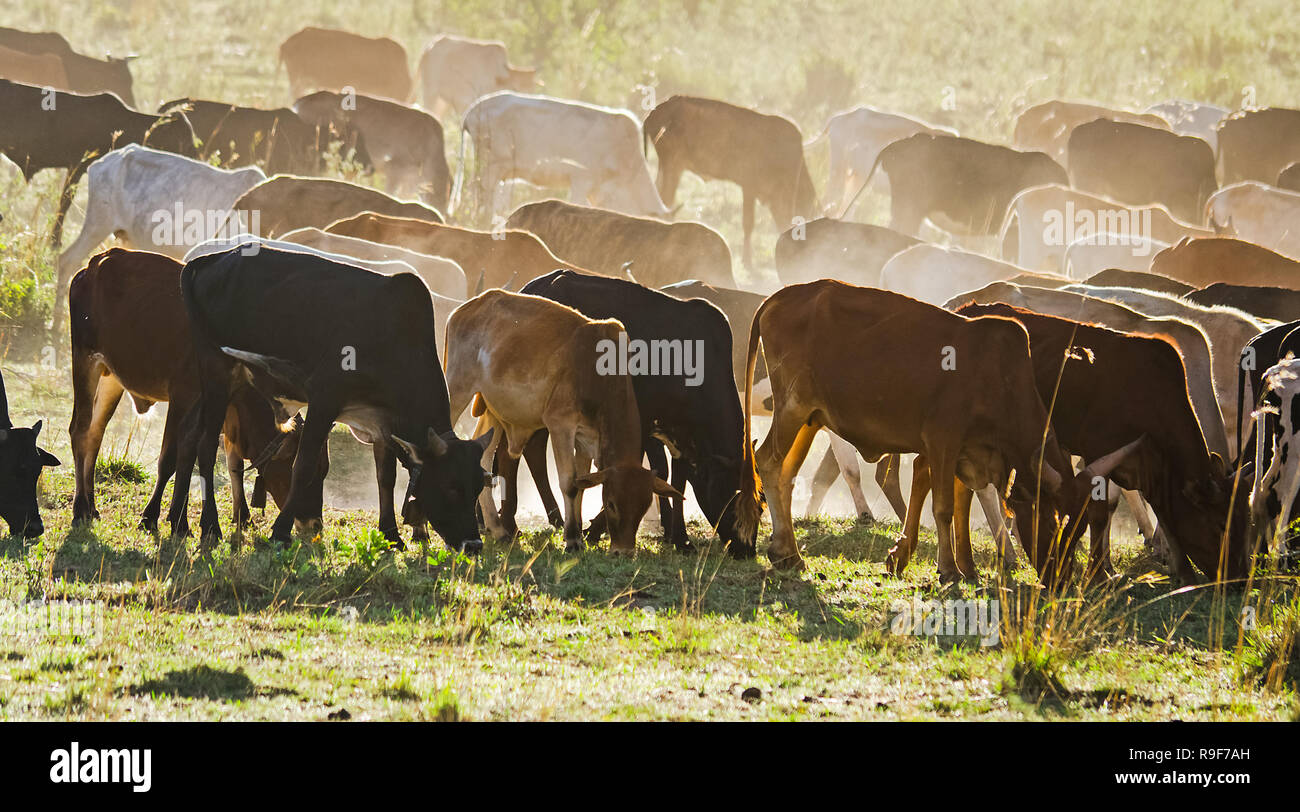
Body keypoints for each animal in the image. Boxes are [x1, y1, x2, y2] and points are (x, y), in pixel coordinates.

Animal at [68, 248, 306, 536]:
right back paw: (80, 507)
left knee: (95, 433)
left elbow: (189, 453)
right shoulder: (183, 395)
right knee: (80, 429)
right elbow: (170, 458)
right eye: (293, 460)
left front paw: (179, 521)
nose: (307, 520)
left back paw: (92, 506)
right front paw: (152, 516)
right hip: (85, 361)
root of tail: (97, 262)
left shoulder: (209, 403)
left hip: (110, 378)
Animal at [171, 244, 489, 549]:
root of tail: (213, 259)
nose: (473, 544)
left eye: (478, 487)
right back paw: (210, 526)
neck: (394, 340)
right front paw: (280, 532)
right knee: (206, 446)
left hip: (225, 382)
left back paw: (179, 523)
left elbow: (385, 477)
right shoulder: (324, 401)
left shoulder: (381, 422)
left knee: (189, 438)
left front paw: (391, 535)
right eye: (451, 486)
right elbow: (303, 466)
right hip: (217, 372)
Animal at [444, 288, 682, 553]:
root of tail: (466, 308)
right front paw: (572, 539)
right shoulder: (561, 427)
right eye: (611, 504)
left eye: (643, 506)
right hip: (456, 390)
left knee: (483, 458)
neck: (597, 374)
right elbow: (569, 484)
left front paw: (577, 534)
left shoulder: (587, 437)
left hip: (493, 411)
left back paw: (498, 529)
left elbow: (581, 485)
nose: (624, 551)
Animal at [643, 95, 816, 267]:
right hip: (673, 164)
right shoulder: (749, 186)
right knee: (665, 201)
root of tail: (662, 107)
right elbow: (748, 223)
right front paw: (747, 262)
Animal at [745, 280, 1098, 583]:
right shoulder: (943, 441)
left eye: (1079, 527)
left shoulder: (967, 453)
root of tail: (777, 298)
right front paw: (949, 569)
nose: (1062, 578)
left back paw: (786, 552)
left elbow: (958, 503)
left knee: (787, 475)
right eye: (1053, 519)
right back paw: (789, 552)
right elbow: (943, 508)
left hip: (810, 418)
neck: (999, 376)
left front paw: (957, 564)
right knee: (769, 463)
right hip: (792, 407)